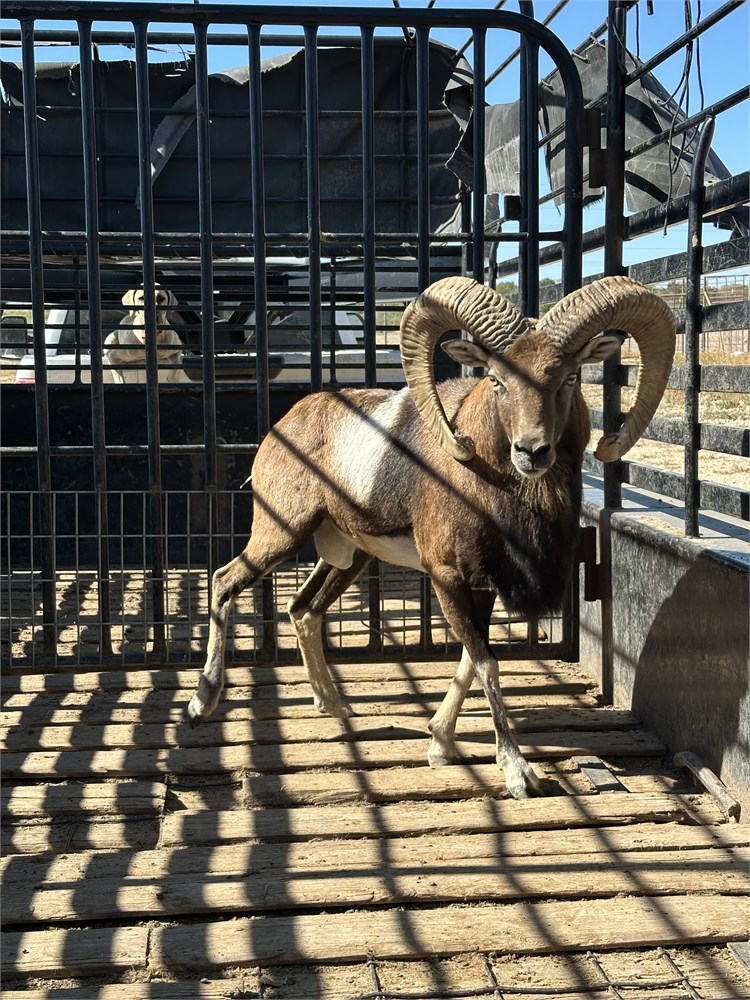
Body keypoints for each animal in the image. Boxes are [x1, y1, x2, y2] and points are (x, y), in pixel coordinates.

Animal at [187, 275, 675, 799]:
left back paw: (335, 708)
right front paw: (518, 773)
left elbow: (469, 659)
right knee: (224, 581)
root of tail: (282, 427)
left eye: (567, 378)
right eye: (497, 380)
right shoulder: (447, 577)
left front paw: (440, 744)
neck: (489, 485)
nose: (531, 451)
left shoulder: (482, 585)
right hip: (279, 534)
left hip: (348, 557)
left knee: (303, 610)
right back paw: (201, 705)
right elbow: (486, 663)